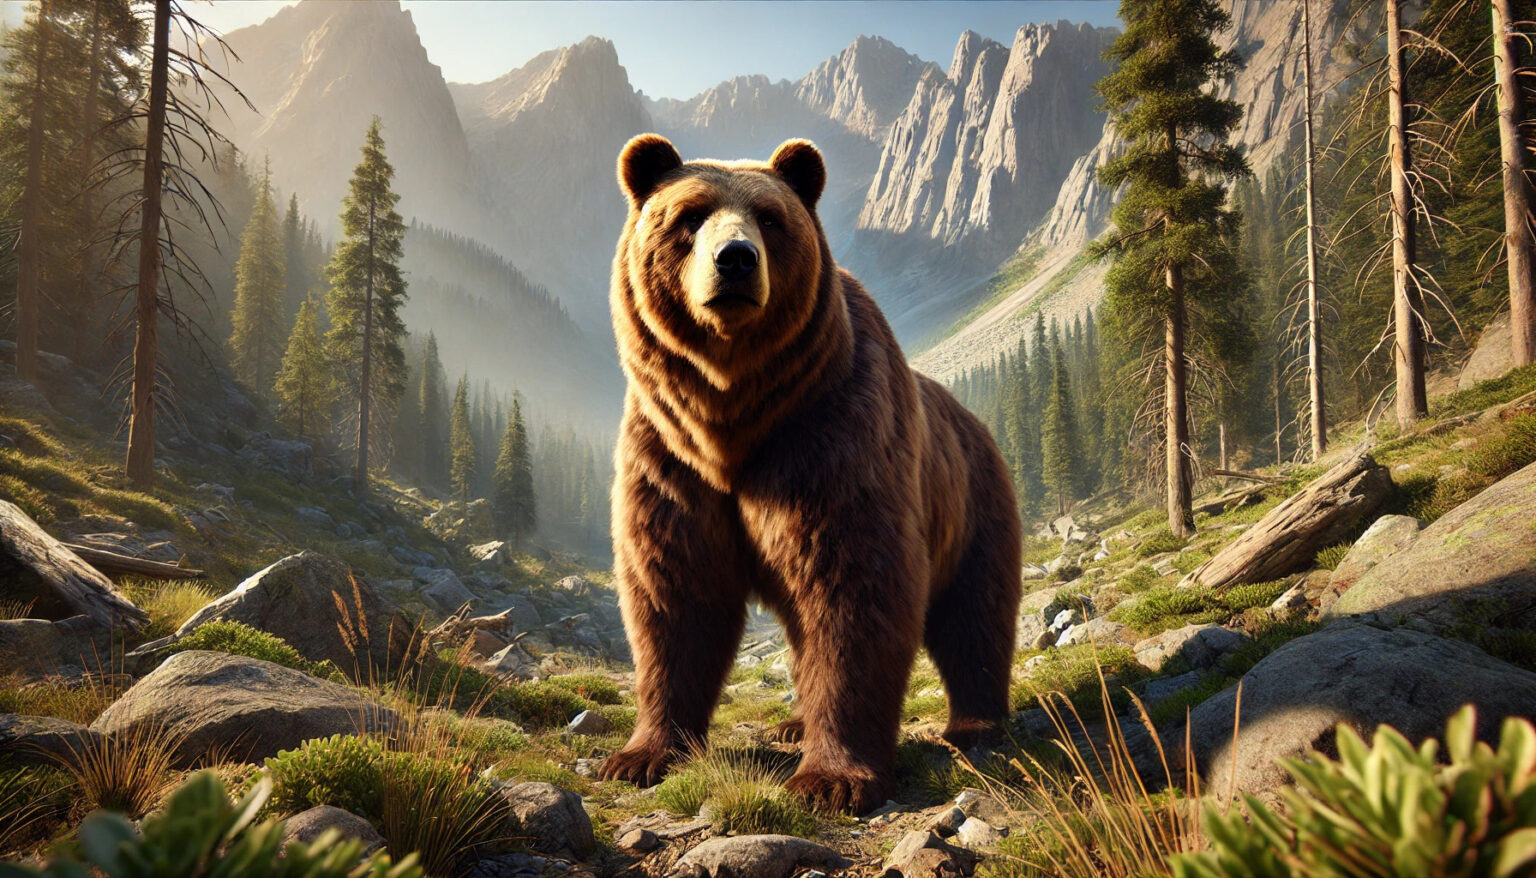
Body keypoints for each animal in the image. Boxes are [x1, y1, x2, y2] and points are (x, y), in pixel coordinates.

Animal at [597, 133, 1023, 814]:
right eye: (689, 215)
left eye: (771, 218)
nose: (736, 259)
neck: (733, 420)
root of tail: (974, 420)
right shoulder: (669, 459)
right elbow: (675, 593)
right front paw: (639, 756)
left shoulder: (828, 441)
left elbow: (851, 592)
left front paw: (832, 779)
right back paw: (794, 722)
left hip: (972, 503)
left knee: (975, 613)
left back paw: (976, 723)